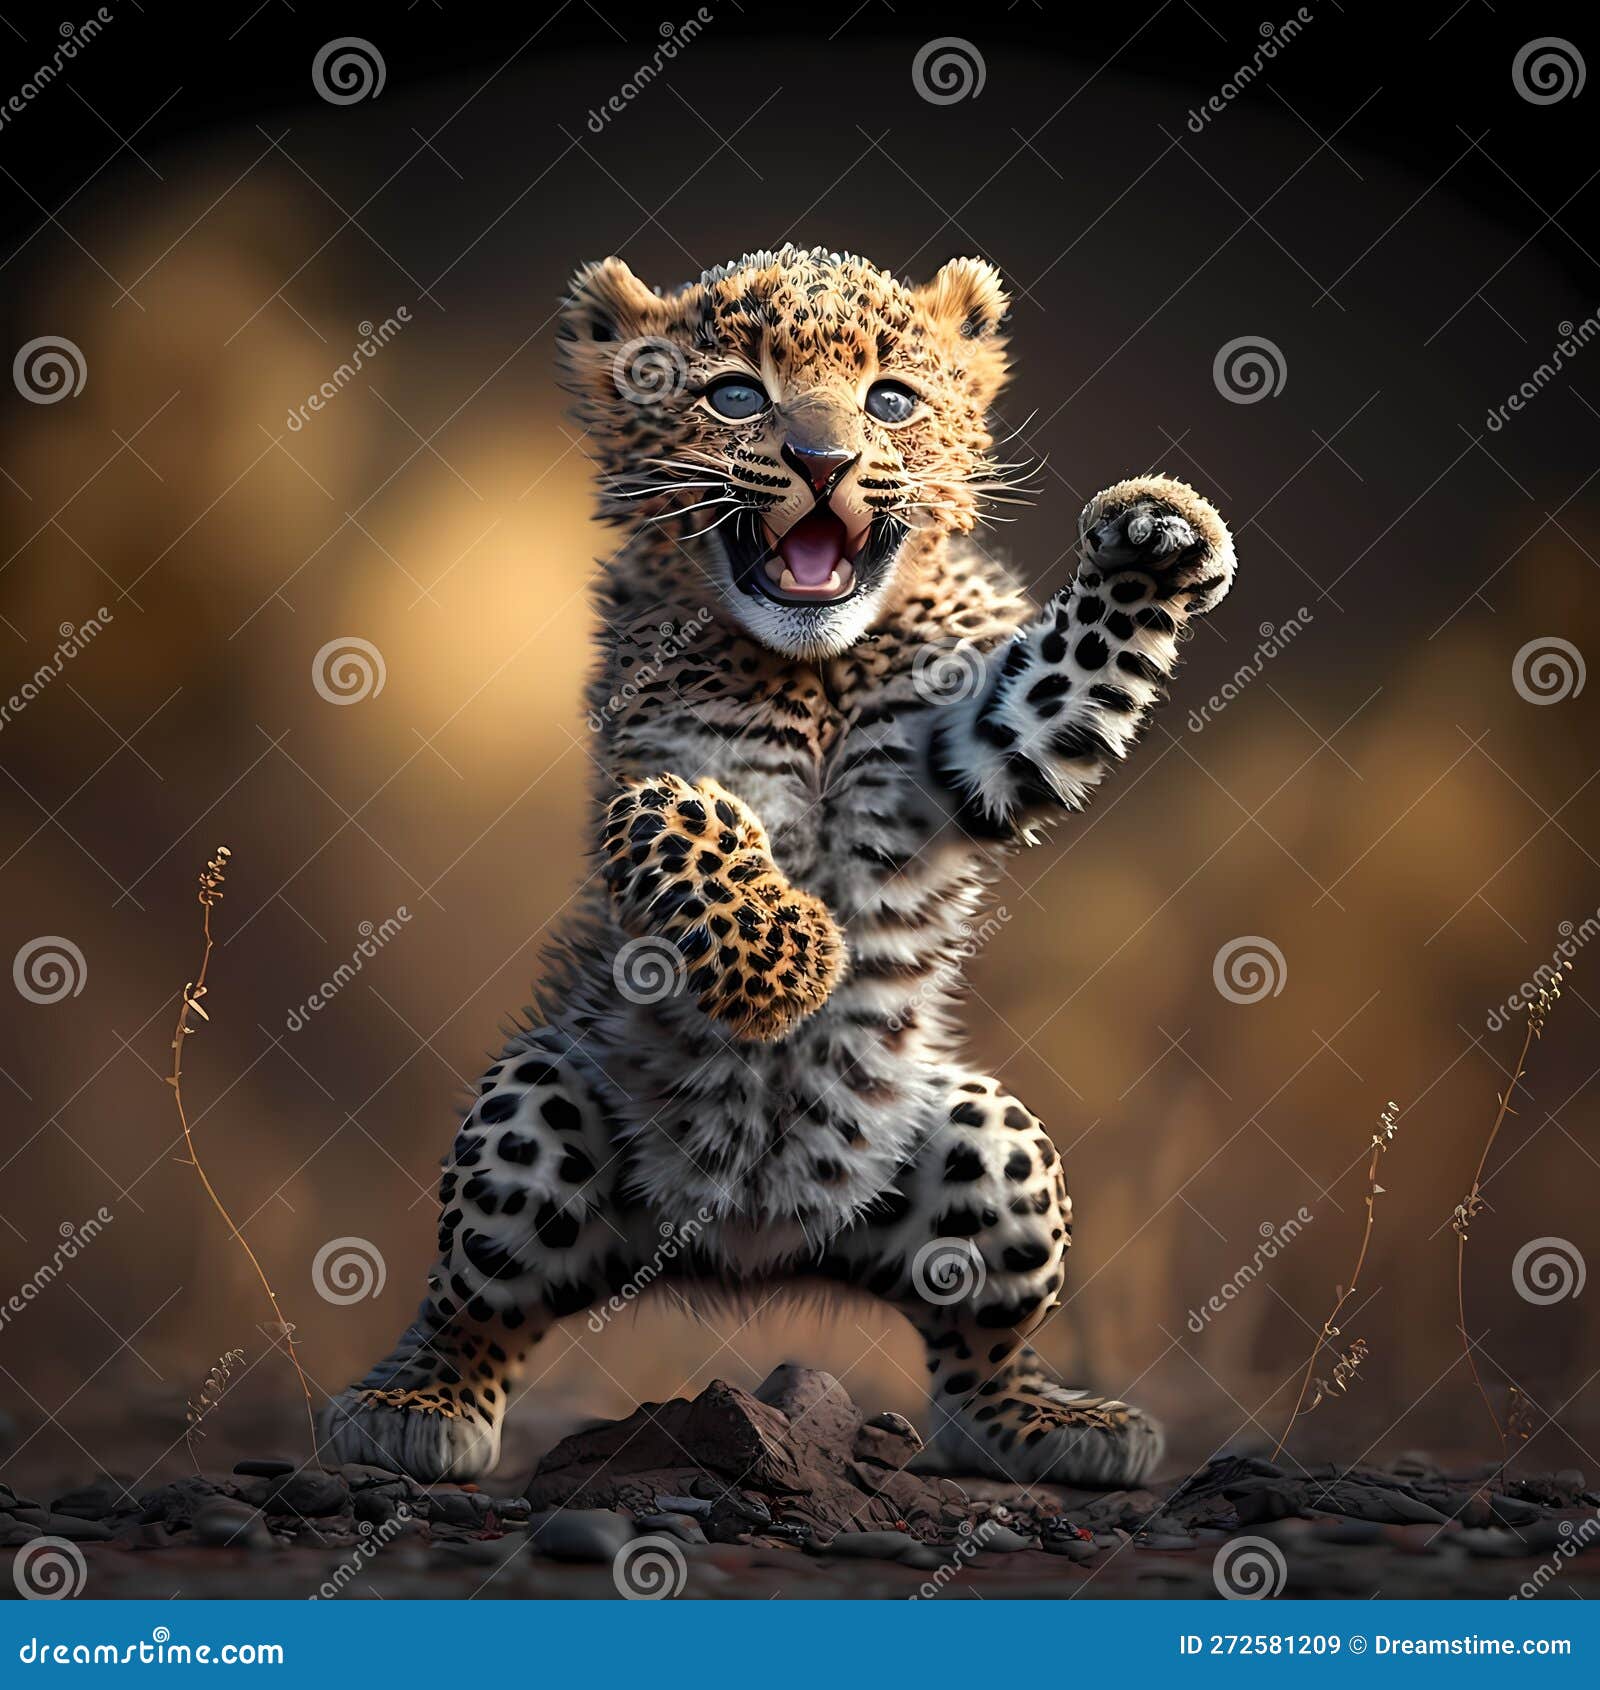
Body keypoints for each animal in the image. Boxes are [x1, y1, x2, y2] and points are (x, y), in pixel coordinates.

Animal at [321, 244, 1238, 1493]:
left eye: (888, 400)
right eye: (734, 396)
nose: (823, 462)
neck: (814, 672)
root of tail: (744, 1248)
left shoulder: (977, 750)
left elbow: (1067, 677)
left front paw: (1159, 534)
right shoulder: (644, 757)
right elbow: (673, 820)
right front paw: (789, 963)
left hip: (986, 1143)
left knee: (975, 1353)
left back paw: (1054, 1426)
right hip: (536, 1112)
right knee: (475, 1306)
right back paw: (414, 1404)